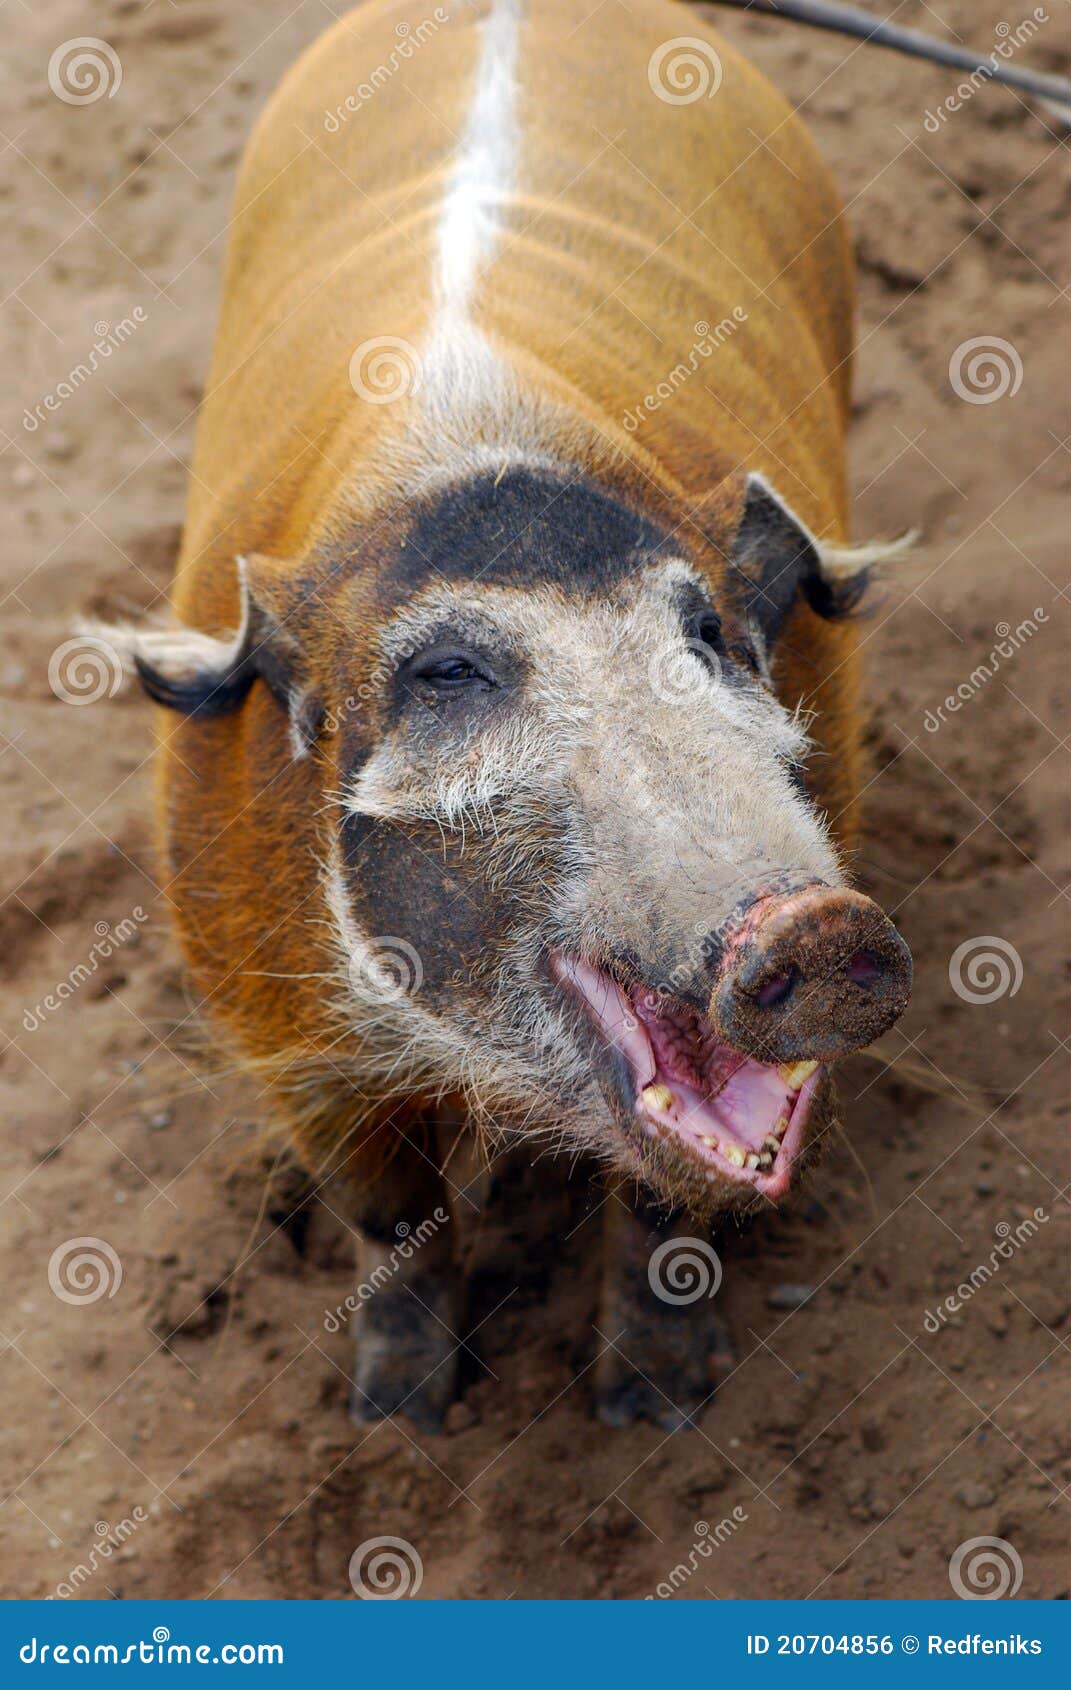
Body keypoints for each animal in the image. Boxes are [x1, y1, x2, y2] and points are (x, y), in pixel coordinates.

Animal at [98, 0, 912, 1429]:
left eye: (707, 639)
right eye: (449, 675)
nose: (815, 925)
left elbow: (665, 1211)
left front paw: (655, 1413)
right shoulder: (285, 1042)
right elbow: (386, 1211)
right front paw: (399, 1417)